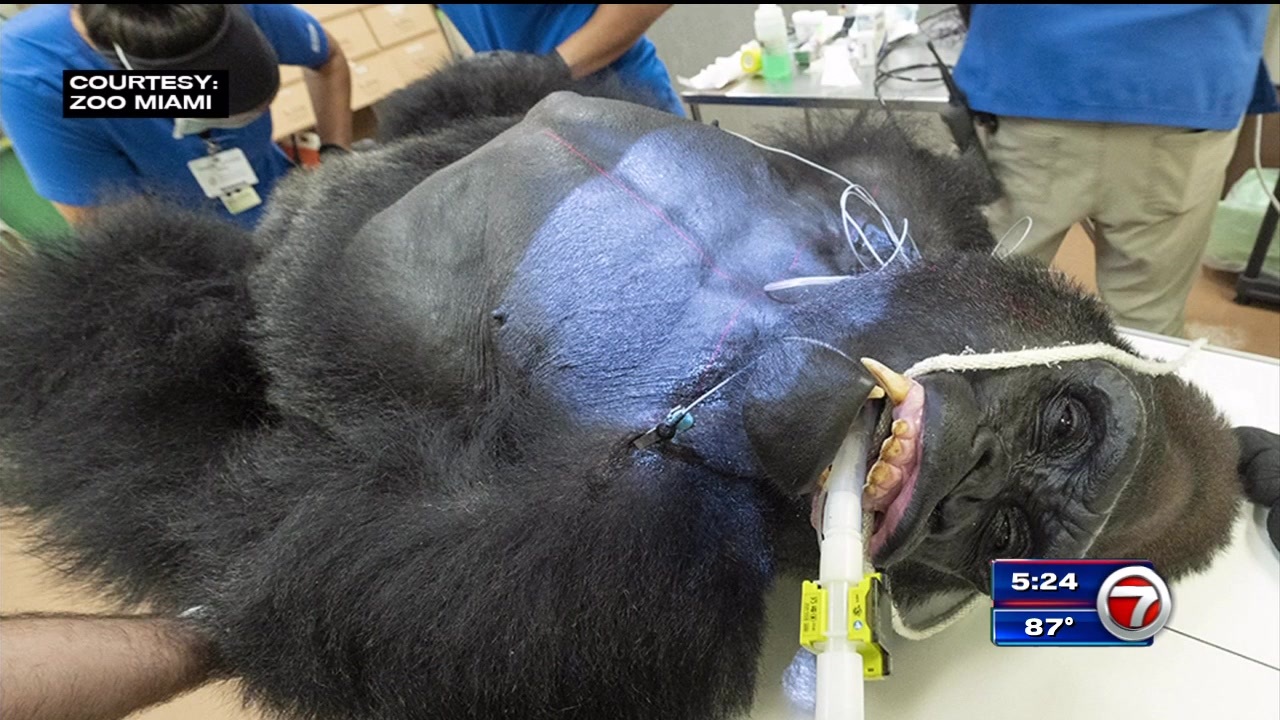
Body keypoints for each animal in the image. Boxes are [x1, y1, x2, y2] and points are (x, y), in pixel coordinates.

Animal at [1, 52, 1276, 720]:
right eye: (1061, 420)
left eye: (1001, 539)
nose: (962, 490)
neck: (783, 314)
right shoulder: (917, 201)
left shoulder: (608, 595)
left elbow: (311, 562)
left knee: (134, 360)